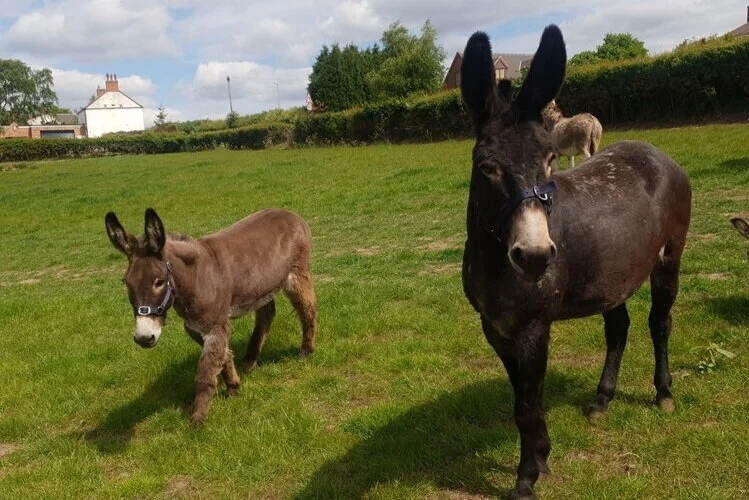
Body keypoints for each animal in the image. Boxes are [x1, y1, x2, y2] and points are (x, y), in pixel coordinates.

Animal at [105, 208, 317, 425]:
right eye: (126, 283)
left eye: (159, 282)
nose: (144, 338)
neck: (195, 278)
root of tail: (288, 212)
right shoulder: (194, 328)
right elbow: (223, 356)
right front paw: (233, 386)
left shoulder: (214, 326)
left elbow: (205, 372)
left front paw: (198, 418)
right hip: (262, 287)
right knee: (267, 315)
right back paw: (250, 361)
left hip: (297, 274)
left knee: (308, 308)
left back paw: (306, 351)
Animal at [460, 25, 691, 499]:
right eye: (486, 167)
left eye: (550, 160)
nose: (534, 256)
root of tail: (657, 153)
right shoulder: (495, 328)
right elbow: (523, 400)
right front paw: (540, 456)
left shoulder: (533, 327)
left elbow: (528, 406)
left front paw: (526, 478)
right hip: (612, 276)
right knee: (618, 328)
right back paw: (603, 398)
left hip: (668, 261)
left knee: (660, 323)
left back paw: (663, 393)